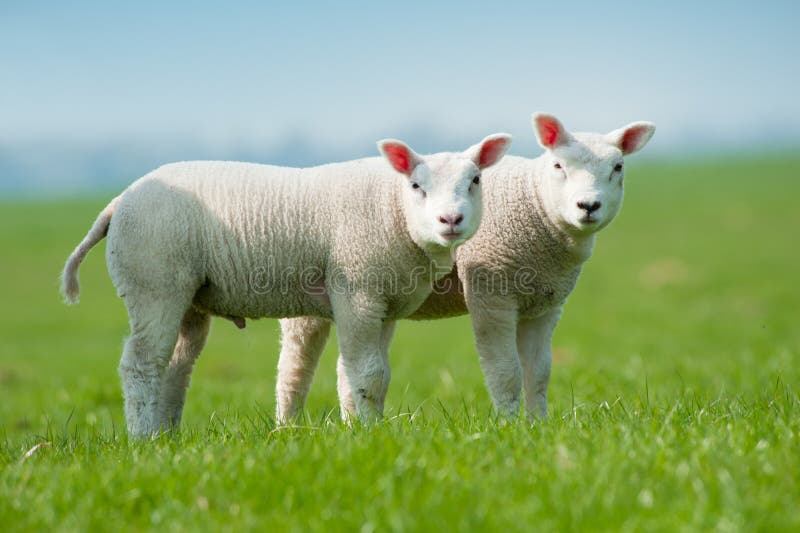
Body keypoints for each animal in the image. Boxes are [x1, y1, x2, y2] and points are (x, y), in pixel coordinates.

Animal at [61, 133, 513, 437]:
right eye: (417, 186)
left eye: (475, 181)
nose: (451, 220)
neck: (393, 208)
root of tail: (118, 202)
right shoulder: (358, 291)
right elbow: (366, 373)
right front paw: (368, 432)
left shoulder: (385, 304)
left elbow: (370, 374)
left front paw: (364, 427)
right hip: (153, 283)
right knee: (140, 364)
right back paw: (142, 438)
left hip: (186, 298)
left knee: (174, 365)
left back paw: (165, 435)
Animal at [277, 113, 655, 421]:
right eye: (558, 166)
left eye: (618, 168)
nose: (588, 206)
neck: (535, 205)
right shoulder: (491, 291)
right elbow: (505, 370)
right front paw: (510, 427)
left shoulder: (546, 304)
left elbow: (539, 372)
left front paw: (539, 425)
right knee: (295, 369)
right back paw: (289, 428)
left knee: (345, 370)